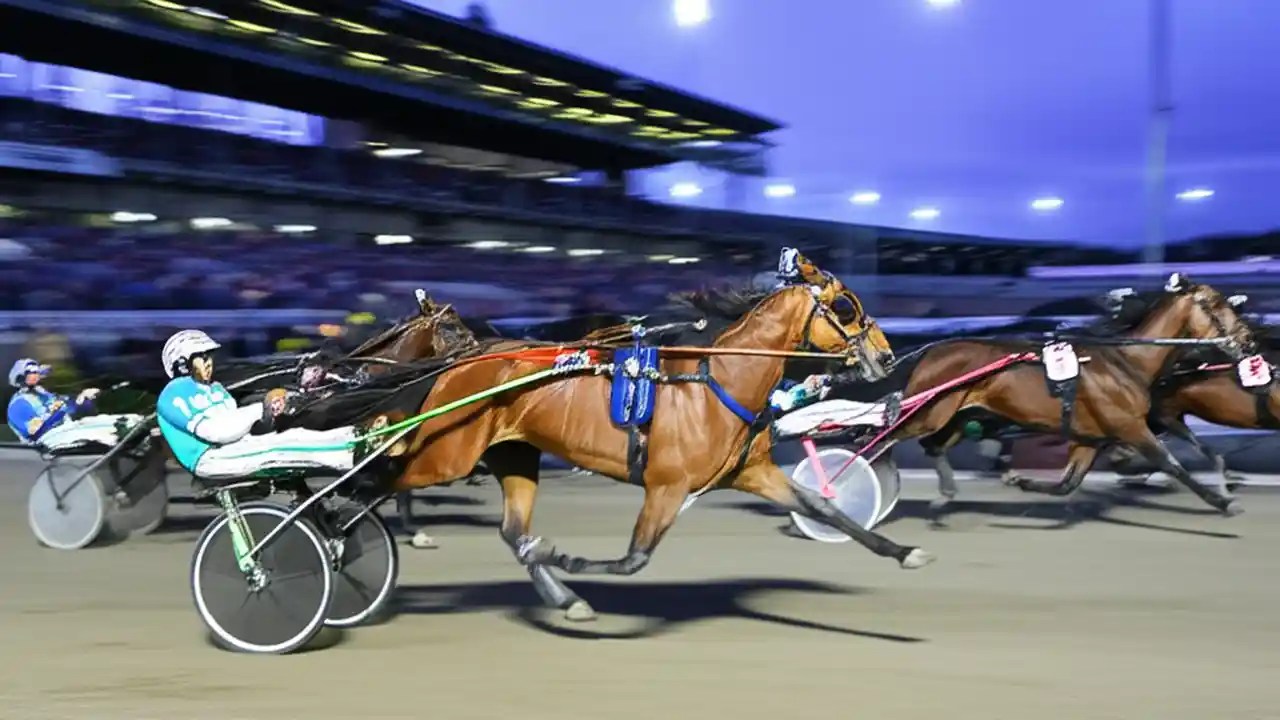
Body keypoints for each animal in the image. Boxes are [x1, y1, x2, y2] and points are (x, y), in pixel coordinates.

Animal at [360, 278, 929, 623]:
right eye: (846, 308)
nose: (886, 356)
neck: (717, 381)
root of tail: (466, 361)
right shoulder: (666, 485)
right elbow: (633, 558)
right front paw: (562, 554)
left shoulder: (754, 473)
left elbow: (824, 508)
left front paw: (905, 552)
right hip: (445, 456)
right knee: (374, 485)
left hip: (514, 455)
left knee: (511, 531)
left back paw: (566, 599)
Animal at [847, 273, 1256, 516]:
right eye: (1216, 305)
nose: (1247, 340)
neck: (1127, 361)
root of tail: (931, 351)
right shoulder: (1131, 428)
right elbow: (1172, 463)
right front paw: (1222, 500)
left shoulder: (1091, 438)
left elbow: (1066, 484)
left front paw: (1021, 481)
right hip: (929, 414)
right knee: (878, 441)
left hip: (960, 416)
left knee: (930, 446)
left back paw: (944, 493)